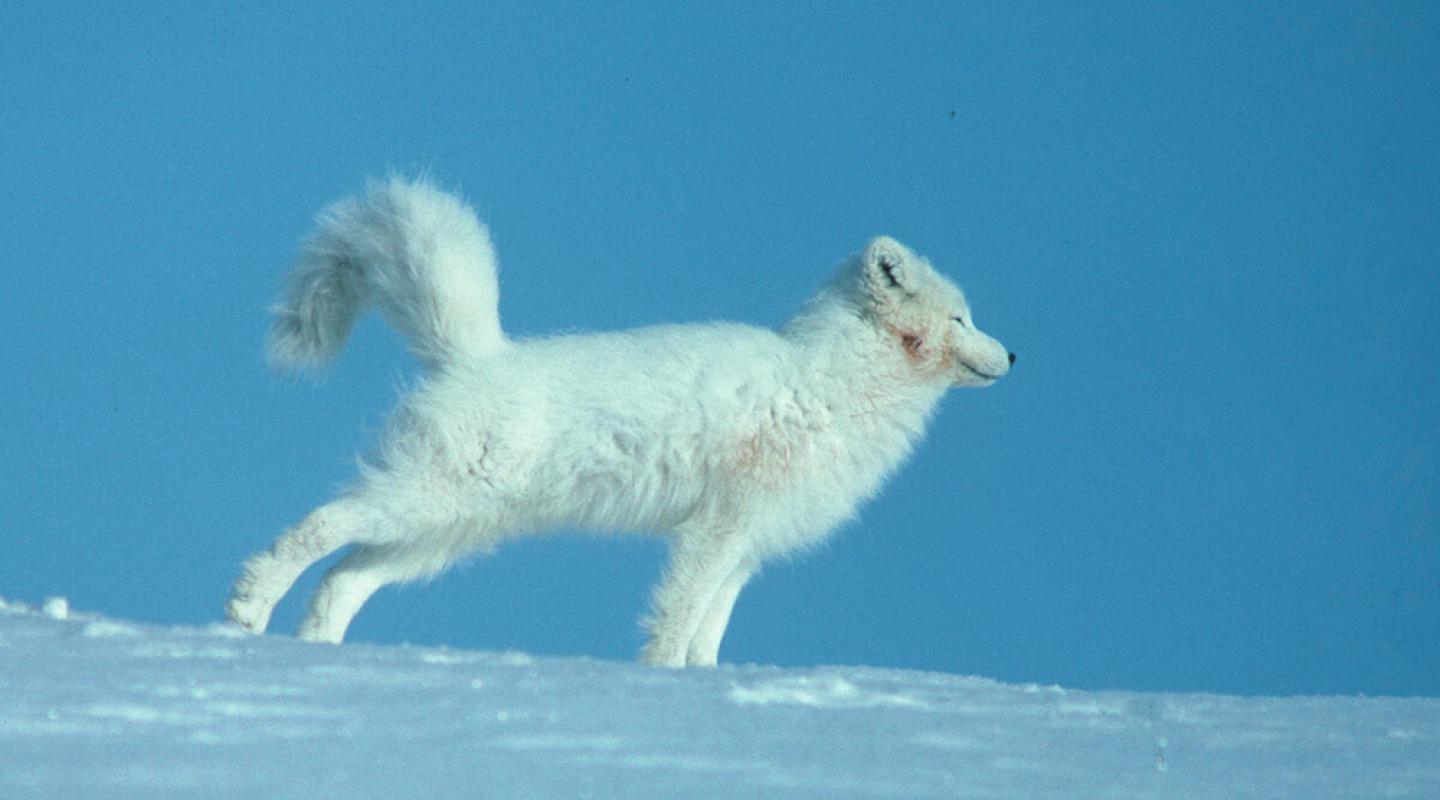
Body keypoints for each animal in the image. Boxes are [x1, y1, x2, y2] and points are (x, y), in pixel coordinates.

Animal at [226, 177, 1014, 667]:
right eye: (961, 319)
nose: (1013, 354)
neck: (830, 385)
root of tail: (476, 353)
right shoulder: (716, 532)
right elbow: (678, 618)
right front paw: (660, 681)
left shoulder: (747, 549)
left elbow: (709, 635)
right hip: (428, 503)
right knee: (317, 529)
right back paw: (248, 608)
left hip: (444, 535)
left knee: (342, 581)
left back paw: (317, 656)